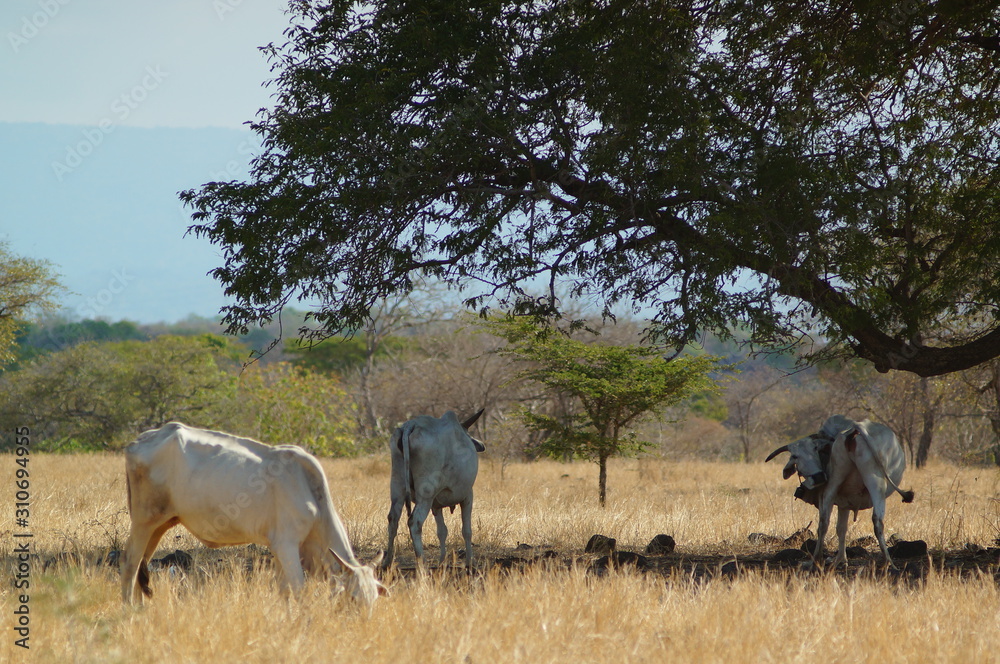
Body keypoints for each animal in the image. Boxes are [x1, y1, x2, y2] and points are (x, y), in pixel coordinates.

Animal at [120, 422, 387, 607]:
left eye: (374, 600)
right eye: (353, 598)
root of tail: (138, 441)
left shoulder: (278, 548)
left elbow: (283, 591)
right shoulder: (287, 546)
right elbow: (299, 591)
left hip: (160, 524)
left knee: (143, 564)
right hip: (143, 521)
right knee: (131, 562)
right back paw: (129, 609)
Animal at [384, 409, 485, 570]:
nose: (481, 445)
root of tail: (410, 425)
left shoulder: (436, 505)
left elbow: (442, 531)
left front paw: (442, 561)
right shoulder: (468, 495)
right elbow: (467, 530)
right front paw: (470, 561)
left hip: (397, 487)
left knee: (393, 519)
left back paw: (387, 562)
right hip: (426, 494)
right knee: (414, 522)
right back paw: (422, 564)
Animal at [766, 415, 914, 568]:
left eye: (815, 449)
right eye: (795, 456)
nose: (819, 477)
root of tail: (854, 429)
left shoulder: (842, 503)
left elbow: (840, 529)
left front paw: (841, 559)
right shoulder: (844, 503)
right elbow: (841, 528)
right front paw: (841, 559)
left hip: (838, 481)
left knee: (824, 522)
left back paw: (816, 560)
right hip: (874, 482)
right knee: (876, 520)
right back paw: (888, 562)